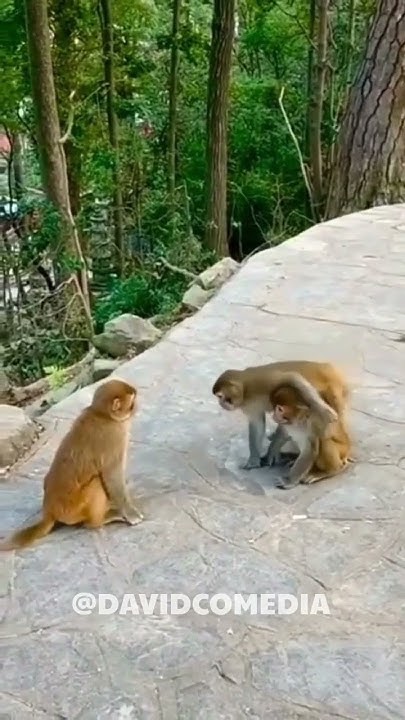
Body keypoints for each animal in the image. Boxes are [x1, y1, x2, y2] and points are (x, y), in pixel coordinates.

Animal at [0, 379, 143, 551]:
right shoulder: (114, 436)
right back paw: (97, 521)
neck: (102, 414)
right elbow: (111, 474)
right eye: (132, 402)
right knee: (96, 483)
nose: (138, 405)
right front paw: (130, 513)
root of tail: (50, 511)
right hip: (73, 509)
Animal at [212, 360, 348, 471]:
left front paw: (272, 451)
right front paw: (254, 460)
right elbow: (257, 424)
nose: (220, 403)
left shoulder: (261, 383)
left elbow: (290, 377)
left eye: (220, 396)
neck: (246, 390)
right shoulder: (248, 405)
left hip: (333, 390)